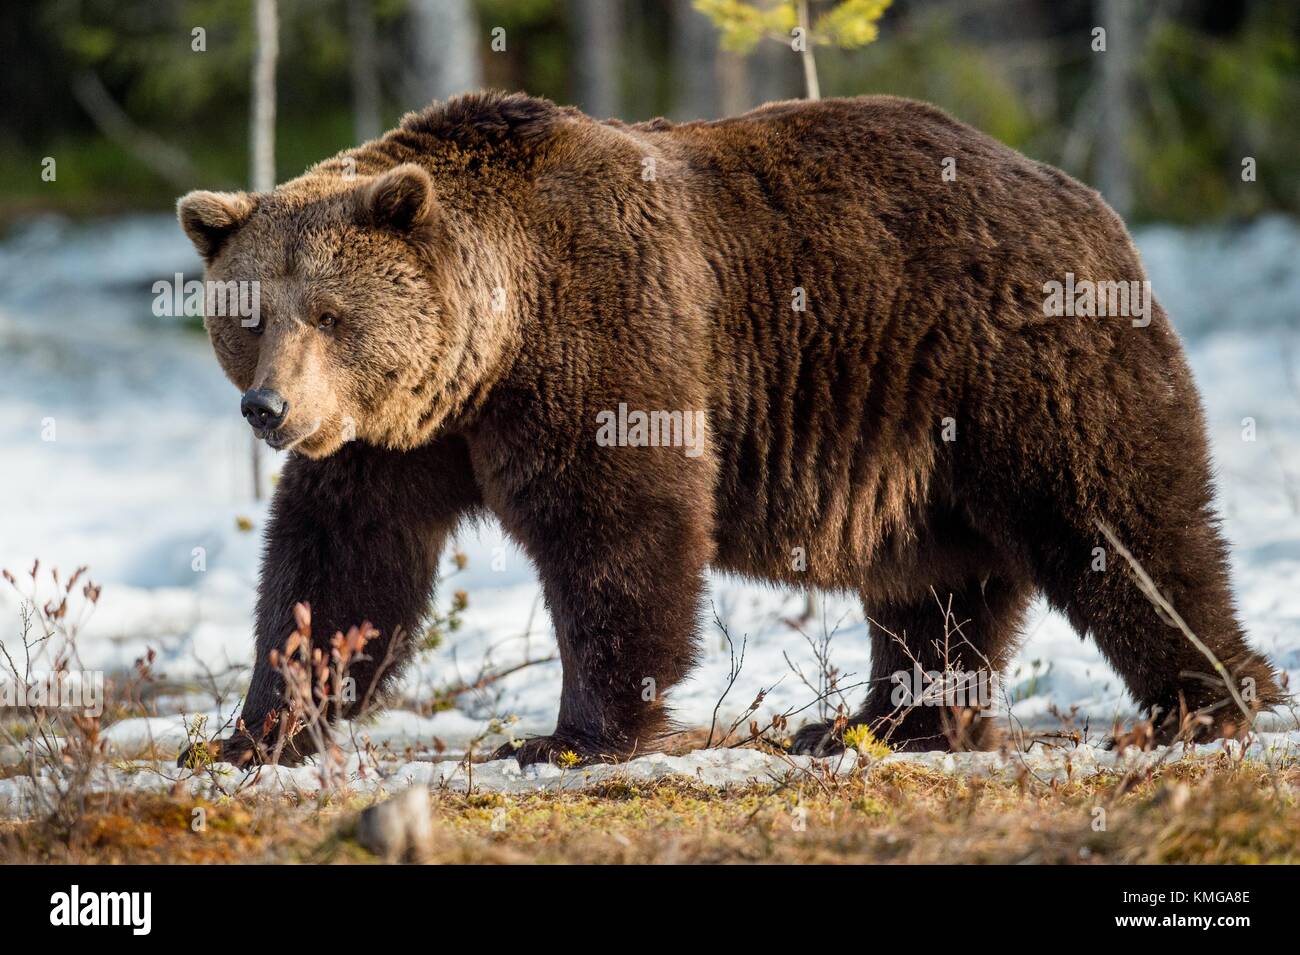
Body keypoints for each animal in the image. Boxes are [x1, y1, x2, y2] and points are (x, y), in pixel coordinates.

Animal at [176, 90, 1281, 767]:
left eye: (328, 313)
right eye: (249, 313)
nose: (269, 409)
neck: (490, 347)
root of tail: (1088, 199)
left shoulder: (603, 343)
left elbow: (618, 535)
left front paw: (570, 734)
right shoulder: (396, 440)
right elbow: (341, 566)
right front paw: (251, 733)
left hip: (1020, 362)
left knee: (1123, 524)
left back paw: (1212, 697)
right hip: (923, 437)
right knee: (935, 578)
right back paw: (882, 721)